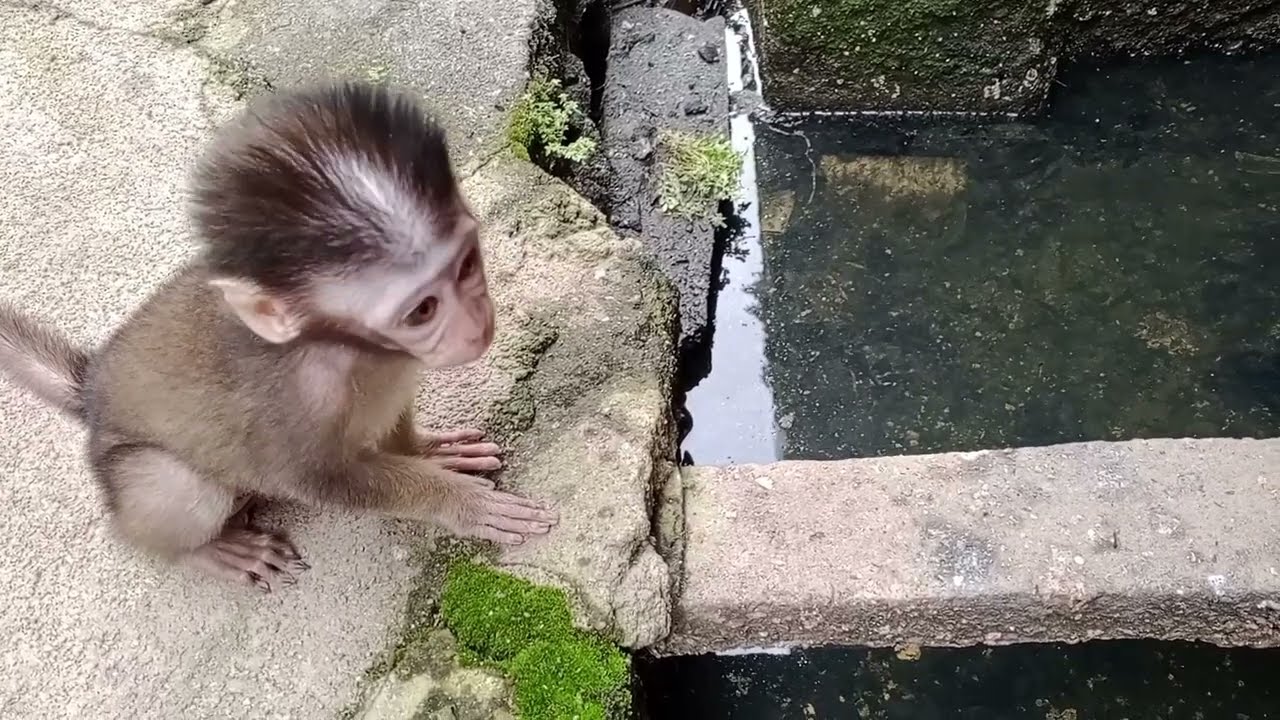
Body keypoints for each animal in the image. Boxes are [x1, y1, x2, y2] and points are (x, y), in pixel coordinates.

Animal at [0, 81, 559, 593]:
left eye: (467, 266)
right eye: (423, 309)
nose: (477, 323)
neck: (351, 348)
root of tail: (90, 391)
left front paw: (426, 454)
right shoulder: (300, 403)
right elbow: (325, 482)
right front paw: (459, 501)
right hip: (139, 477)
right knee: (173, 495)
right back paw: (205, 551)